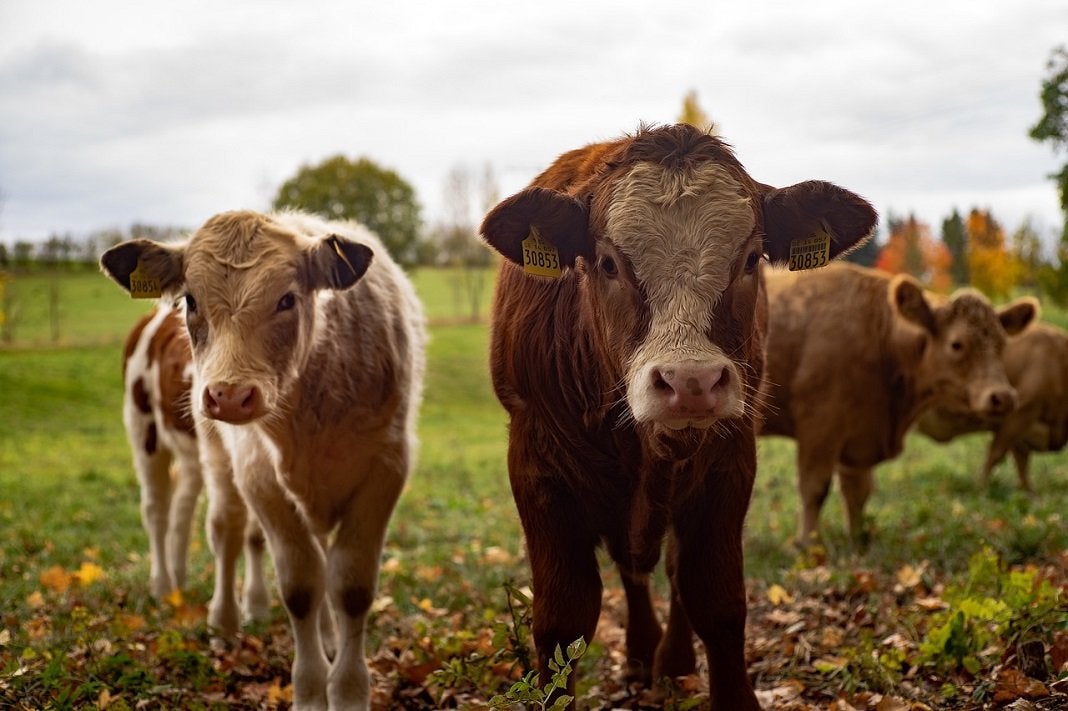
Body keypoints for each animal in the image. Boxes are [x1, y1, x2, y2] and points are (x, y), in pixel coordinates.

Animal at [120, 304, 269, 633]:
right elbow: (227, 524)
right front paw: (224, 623)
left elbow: (256, 533)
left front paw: (256, 606)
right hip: (143, 427)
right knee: (156, 509)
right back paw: (162, 585)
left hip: (191, 455)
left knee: (182, 507)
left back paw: (178, 580)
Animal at [480, 123, 876, 709]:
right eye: (608, 263)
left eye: (751, 258)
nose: (691, 382)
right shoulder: (537, 468)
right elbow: (562, 619)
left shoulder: (730, 462)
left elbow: (716, 599)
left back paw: (670, 660)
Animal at [758, 261, 1037, 546]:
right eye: (957, 344)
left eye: (1002, 344)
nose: (1003, 396)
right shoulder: (819, 428)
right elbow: (815, 488)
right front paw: (808, 545)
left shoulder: (859, 437)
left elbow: (858, 492)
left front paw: (857, 541)